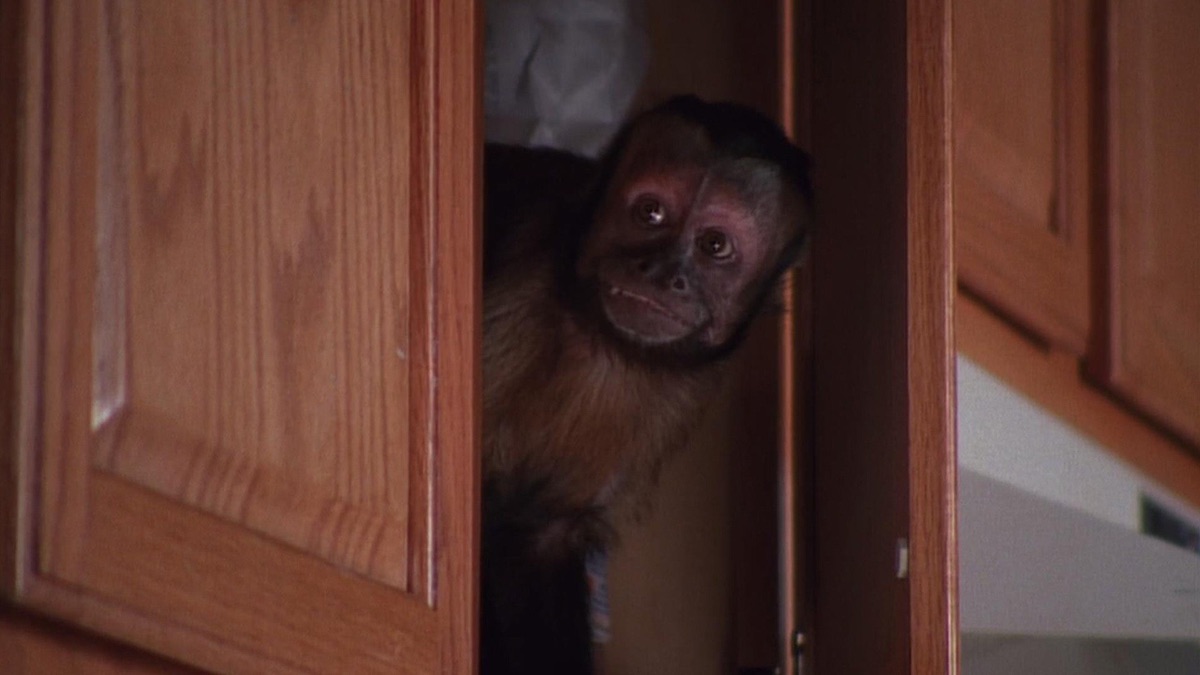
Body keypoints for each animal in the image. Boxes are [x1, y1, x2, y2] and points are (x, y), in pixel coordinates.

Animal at [481, 95, 812, 675]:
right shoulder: (514, 296)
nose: (659, 271)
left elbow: (538, 534)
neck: (596, 337)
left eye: (714, 245)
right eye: (651, 212)